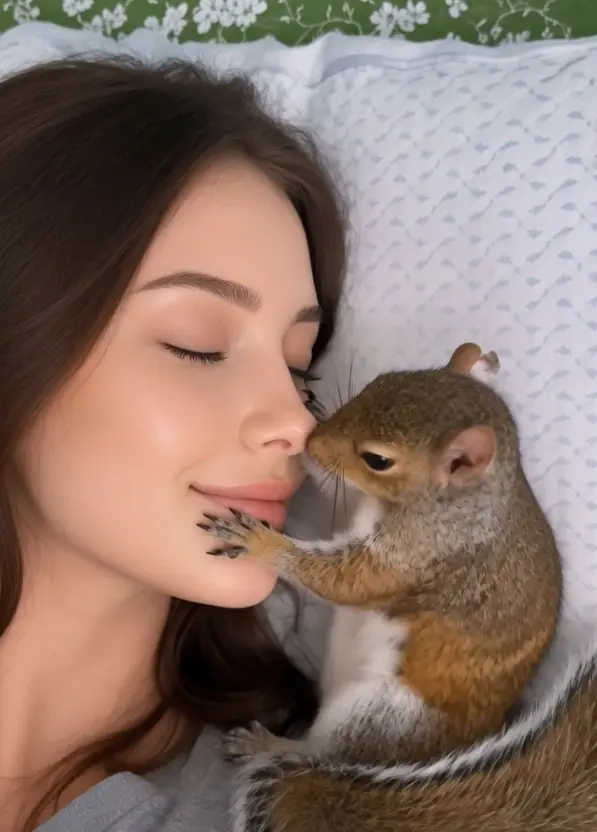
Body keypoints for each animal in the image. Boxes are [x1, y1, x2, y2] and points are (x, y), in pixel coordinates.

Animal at [201, 342, 564, 825]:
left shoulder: (419, 552)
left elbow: (348, 579)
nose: (311, 440)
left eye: (378, 460)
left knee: (320, 753)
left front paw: (259, 542)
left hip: (383, 716)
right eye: (377, 383)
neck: (456, 503)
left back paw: (266, 744)